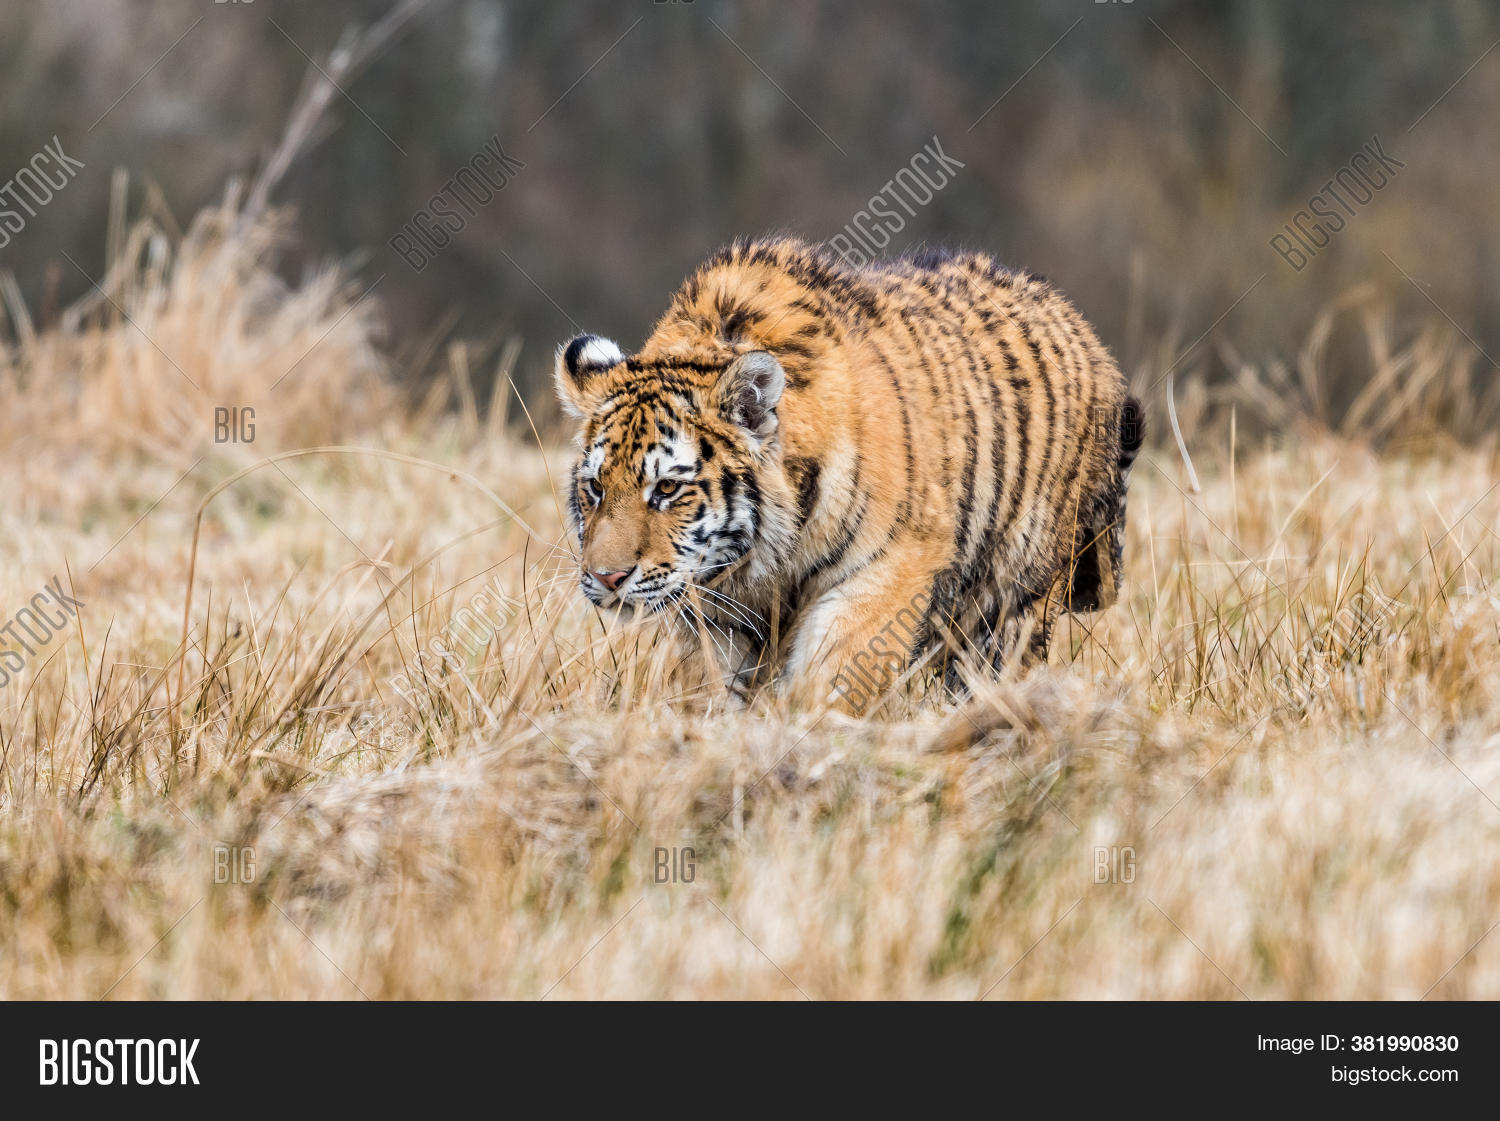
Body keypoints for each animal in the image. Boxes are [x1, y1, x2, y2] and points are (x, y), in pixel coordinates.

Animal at [554, 235, 1142, 714]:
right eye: (595, 488)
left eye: (668, 488)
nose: (607, 579)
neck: (759, 562)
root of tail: (1090, 339)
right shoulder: (714, 611)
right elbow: (706, 687)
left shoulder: (888, 568)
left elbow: (834, 673)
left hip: (1015, 599)